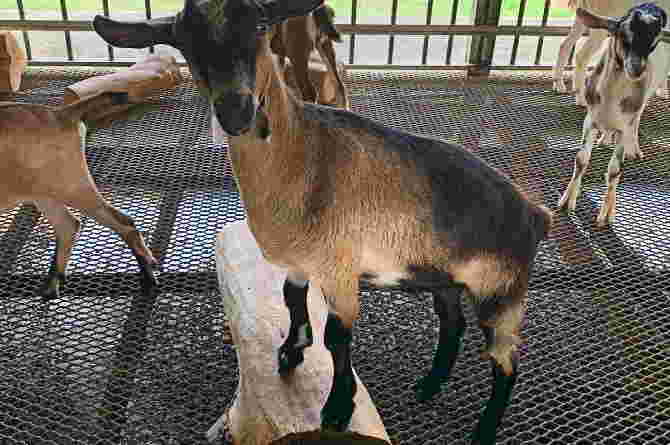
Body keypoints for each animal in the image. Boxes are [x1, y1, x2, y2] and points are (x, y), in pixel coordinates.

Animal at [0, 92, 157, 299]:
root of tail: (61, 114)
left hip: (73, 187)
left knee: (124, 222)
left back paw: (148, 278)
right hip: (45, 194)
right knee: (68, 225)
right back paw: (52, 285)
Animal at [93, 1, 552, 443]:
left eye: (260, 23)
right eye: (183, 39)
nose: (237, 110)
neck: (306, 159)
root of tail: (535, 215)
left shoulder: (340, 271)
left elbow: (337, 336)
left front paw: (336, 409)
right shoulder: (301, 264)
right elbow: (292, 300)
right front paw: (291, 351)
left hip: (502, 292)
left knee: (506, 363)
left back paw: (484, 431)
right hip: (445, 279)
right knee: (452, 324)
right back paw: (429, 385)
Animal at [558, 3, 670, 227]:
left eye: (653, 43)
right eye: (622, 34)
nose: (637, 69)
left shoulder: (624, 128)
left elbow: (614, 170)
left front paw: (606, 214)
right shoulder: (590, 121)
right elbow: (581, 160)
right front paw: (567, 201)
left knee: (638, 118)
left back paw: (633, 148)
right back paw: (605, 138)